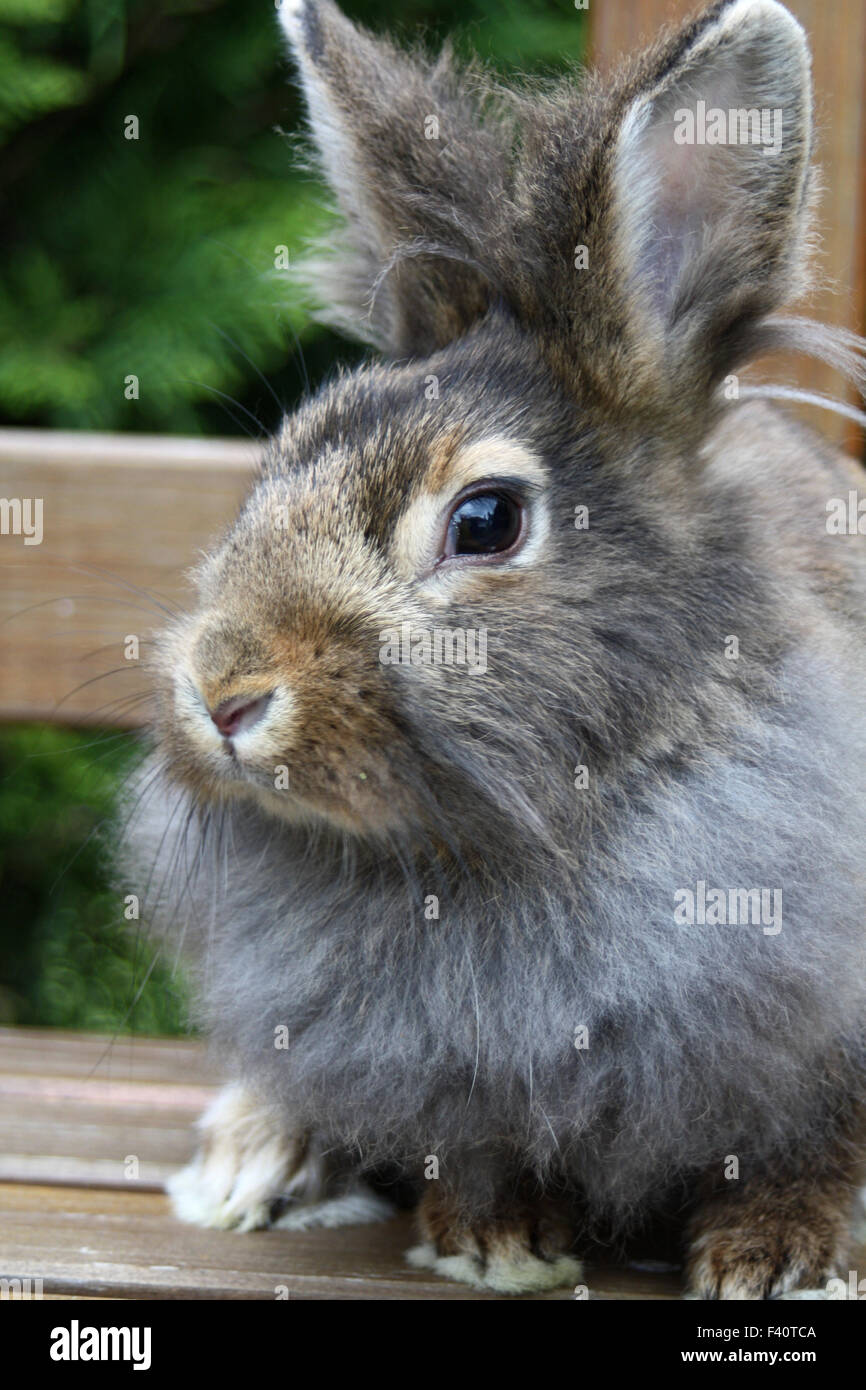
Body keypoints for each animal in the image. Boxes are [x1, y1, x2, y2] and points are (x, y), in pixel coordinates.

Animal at [119, 0, 866, 1298]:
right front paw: (493, 1240)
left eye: (484, 522)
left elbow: (815, 1140)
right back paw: (249, 1165)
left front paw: (779, 1256)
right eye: (277, 461)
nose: (221, 695)